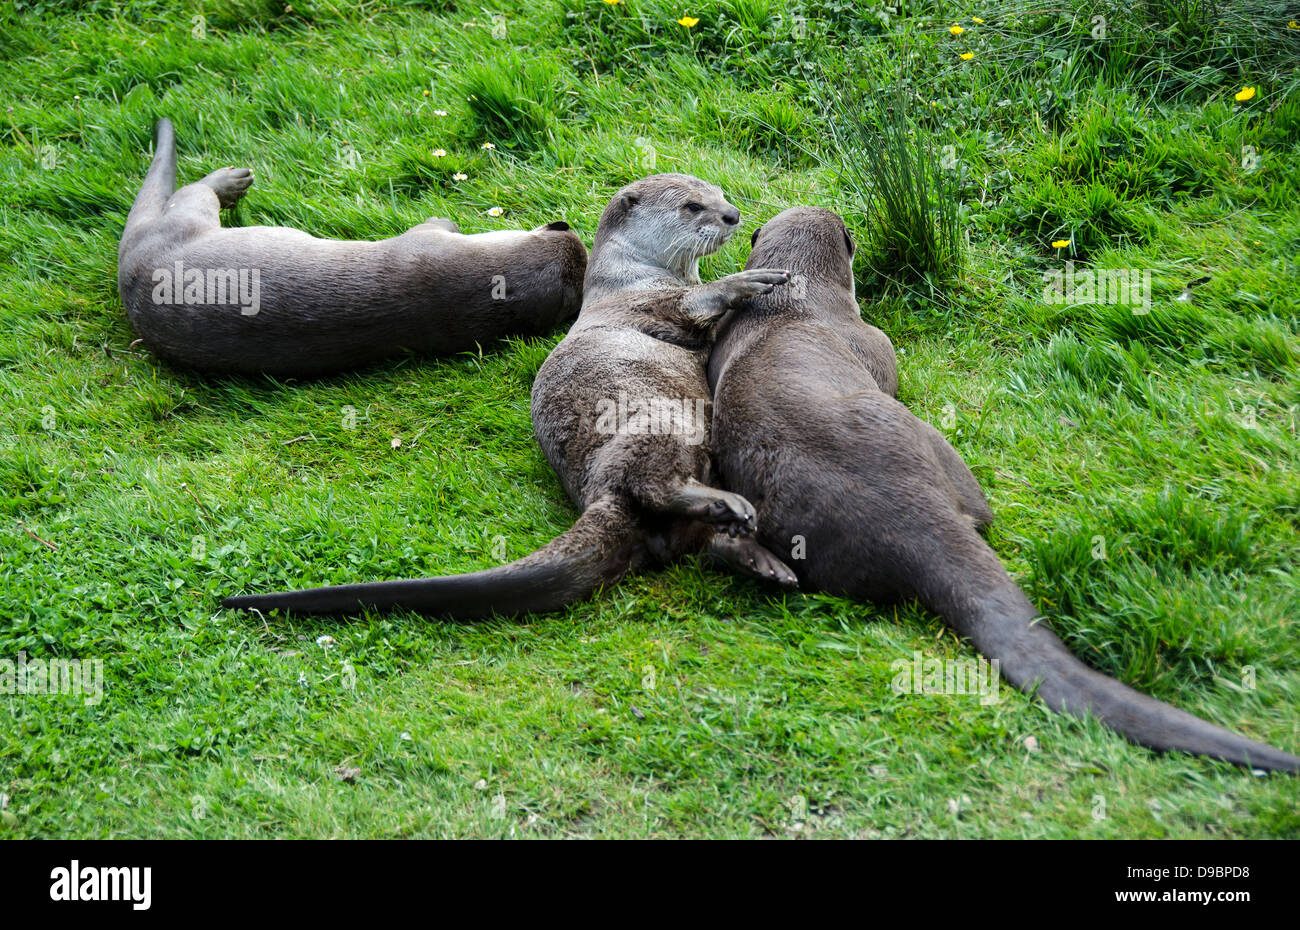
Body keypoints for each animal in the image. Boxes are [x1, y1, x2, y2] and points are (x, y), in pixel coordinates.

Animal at [223, 174, 796, 616]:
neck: (633, 276)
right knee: (656, 483)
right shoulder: (651, 307)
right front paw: (749, 279)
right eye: (692, 206)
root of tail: (597, 492)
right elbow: (695, 305)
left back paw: (762, 560)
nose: (732, 214)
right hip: (655, 429)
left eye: (717, 193)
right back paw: (729, 508)